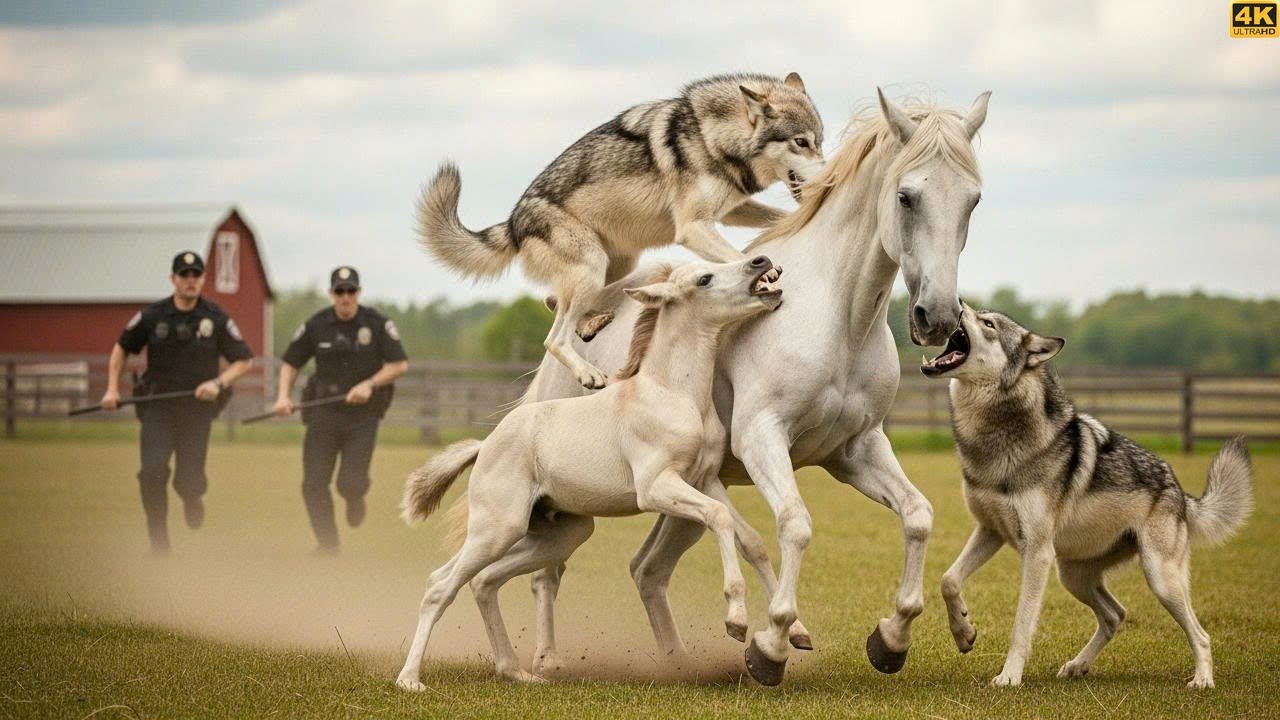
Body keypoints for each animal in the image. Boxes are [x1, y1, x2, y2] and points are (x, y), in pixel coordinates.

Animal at [416, 72, 824, 389]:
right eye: (800, 142)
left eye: (818, 142)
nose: (826, 176)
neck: (712, 138)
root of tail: (514, 222)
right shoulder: (693, 229)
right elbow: (735, 255)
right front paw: (766, 270)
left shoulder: (731, 211)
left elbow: (776, 219)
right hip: (592, 266)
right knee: (553, 339)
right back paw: (589, 373)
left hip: (616, 266)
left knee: (554, 303)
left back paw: (591, 324)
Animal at [921, 304, 1253, 688]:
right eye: (978, 312)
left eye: (987, 322)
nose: (957, 303)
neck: (996, 434)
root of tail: (1180, 492)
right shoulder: (990, 532)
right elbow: (948, 580)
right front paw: (964, 632)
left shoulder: (1036, 553)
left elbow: (1021, 624)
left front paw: (1009, 677)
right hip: (1073, 576)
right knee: (1115, 615)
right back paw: (1077, 666)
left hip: (1159, 579)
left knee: (1199, 634)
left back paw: (1202, 680)